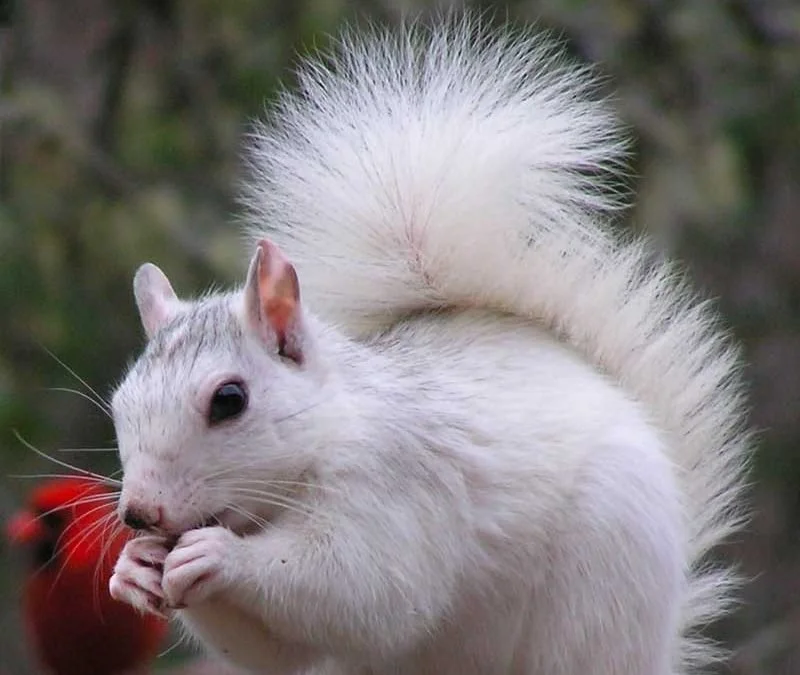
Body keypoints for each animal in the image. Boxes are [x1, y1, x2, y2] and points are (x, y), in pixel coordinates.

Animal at [107, 15, 750, 675]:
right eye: (120, 404)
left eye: (229, 400)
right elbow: (271, 650)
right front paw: (133, 569)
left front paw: (221, 556)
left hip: (596, 605)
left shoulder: (399, 491)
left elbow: (360, 589)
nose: (139, 513)